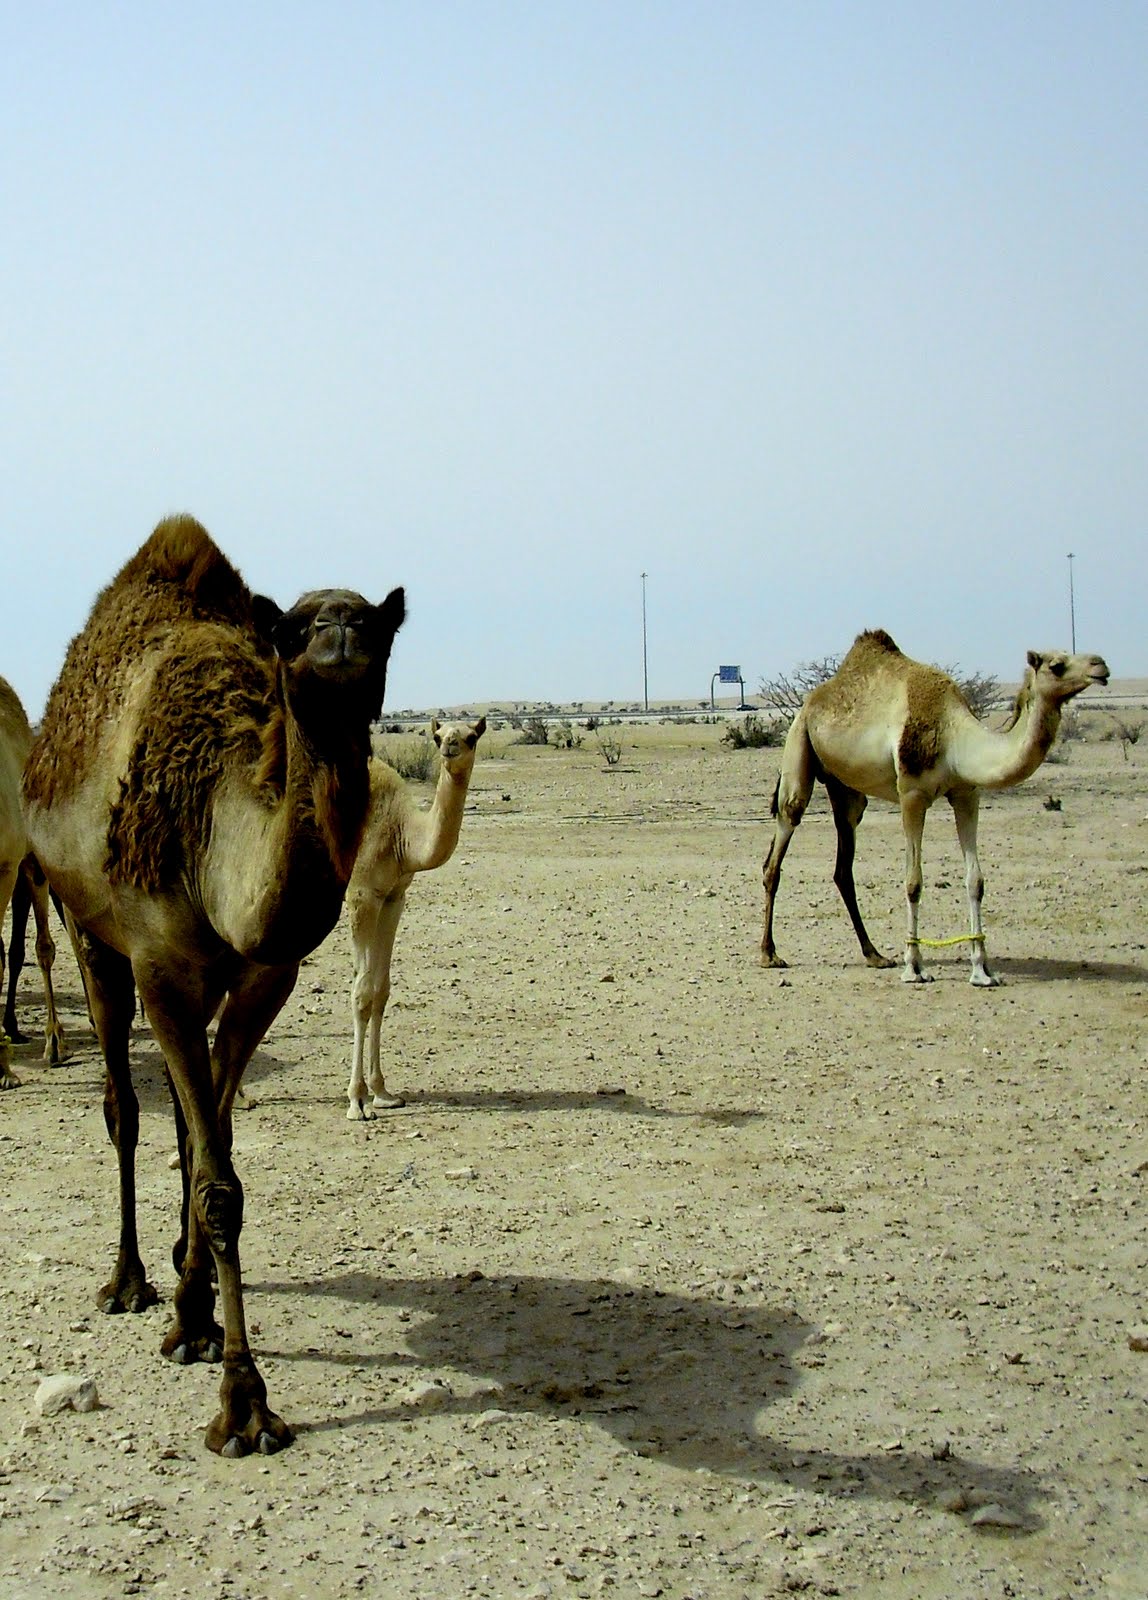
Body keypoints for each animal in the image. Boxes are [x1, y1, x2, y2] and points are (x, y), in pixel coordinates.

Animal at [23, 514, 405, 1456]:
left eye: (377, 625)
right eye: (295, 627)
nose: (341, 633)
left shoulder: (264, 976)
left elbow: (212, 1151)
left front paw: (197, 1319)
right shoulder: (161, 967)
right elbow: (217, 1180)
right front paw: (243, 1402)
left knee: (181, 1126)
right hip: (87, 925)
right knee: (123, 1109)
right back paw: (126, 1280)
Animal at [346, 717, 486, 1119]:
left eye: (472, 736)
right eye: (437, 736)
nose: (450, 747)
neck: (402, 836)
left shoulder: (394, 897)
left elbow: (381, 989)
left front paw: (382, 1092)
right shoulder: (361, 896)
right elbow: (361, 992)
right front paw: (357, 1101)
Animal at [760, 629, 1109, 986]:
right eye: (1057, 665)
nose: (1101, 666)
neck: (954, 737)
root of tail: (811, 702)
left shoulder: (967, 794)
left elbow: (976, 881)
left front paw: (982, 970)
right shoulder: (912, 794)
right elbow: (913, 882)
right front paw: (914, 967)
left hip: (845, 787)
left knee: (843, 862)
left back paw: (874, 955)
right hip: (798, 746)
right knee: (780, 841)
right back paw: (769, 954)